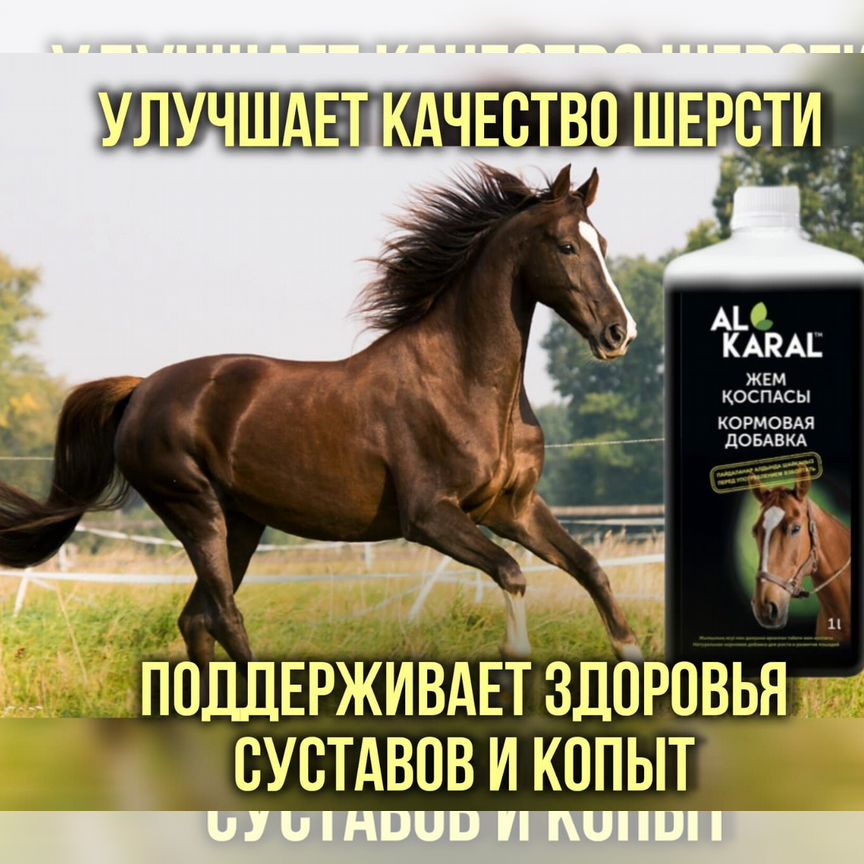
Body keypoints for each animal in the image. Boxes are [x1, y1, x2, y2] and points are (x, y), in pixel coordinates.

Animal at [0, 163, 643, 666]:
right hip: (196, 512)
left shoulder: (513, 508)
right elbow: (512, 576)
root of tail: (140, 391)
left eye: (604, 244)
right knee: (225, 617)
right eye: (566, 245)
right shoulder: (430, 517)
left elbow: (591, 570)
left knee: (196, 621)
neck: (464, 384)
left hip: (241, 523)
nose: (620, 334)